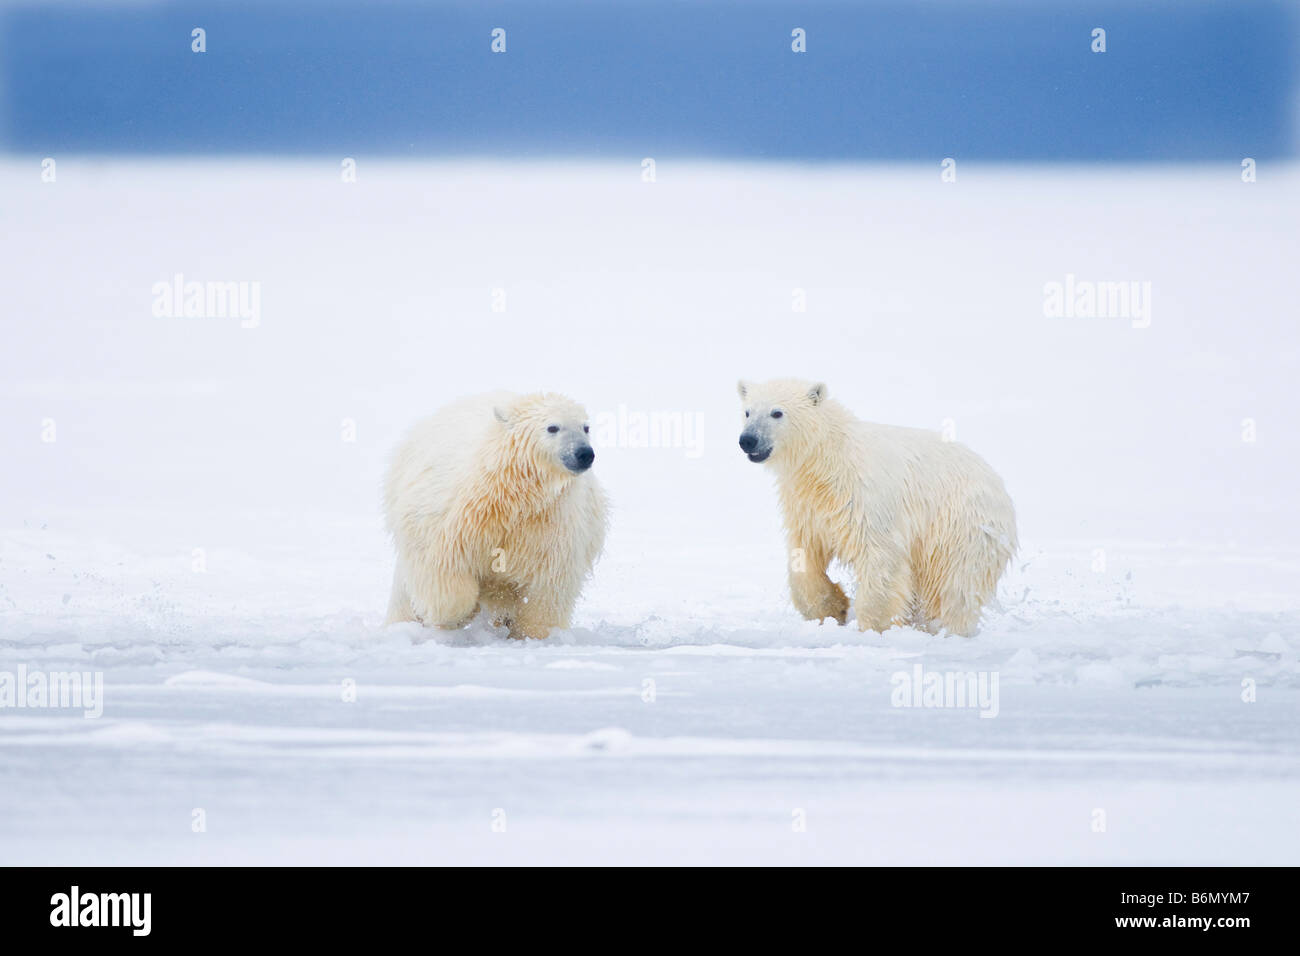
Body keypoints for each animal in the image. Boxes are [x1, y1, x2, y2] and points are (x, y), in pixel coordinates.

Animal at [383, 391, 607, 639]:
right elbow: (442, 566)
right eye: (553, 427)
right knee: (404, 591)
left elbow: (548, 584)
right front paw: (457, 614)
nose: (584, 453)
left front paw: (532, 633)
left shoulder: (549, 521)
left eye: (585, 427)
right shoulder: (452, 516)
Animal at [737, 378, 1017, 636]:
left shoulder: (865, 498)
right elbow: (805, 553)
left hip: (960, 527)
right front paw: (833, 607)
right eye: (748, 411)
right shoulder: (807, 504)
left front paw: (876, 627)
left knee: (952, 587)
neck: (828, 459)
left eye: (777, 412)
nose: (748, 440)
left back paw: (945, 628)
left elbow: (881, 556)